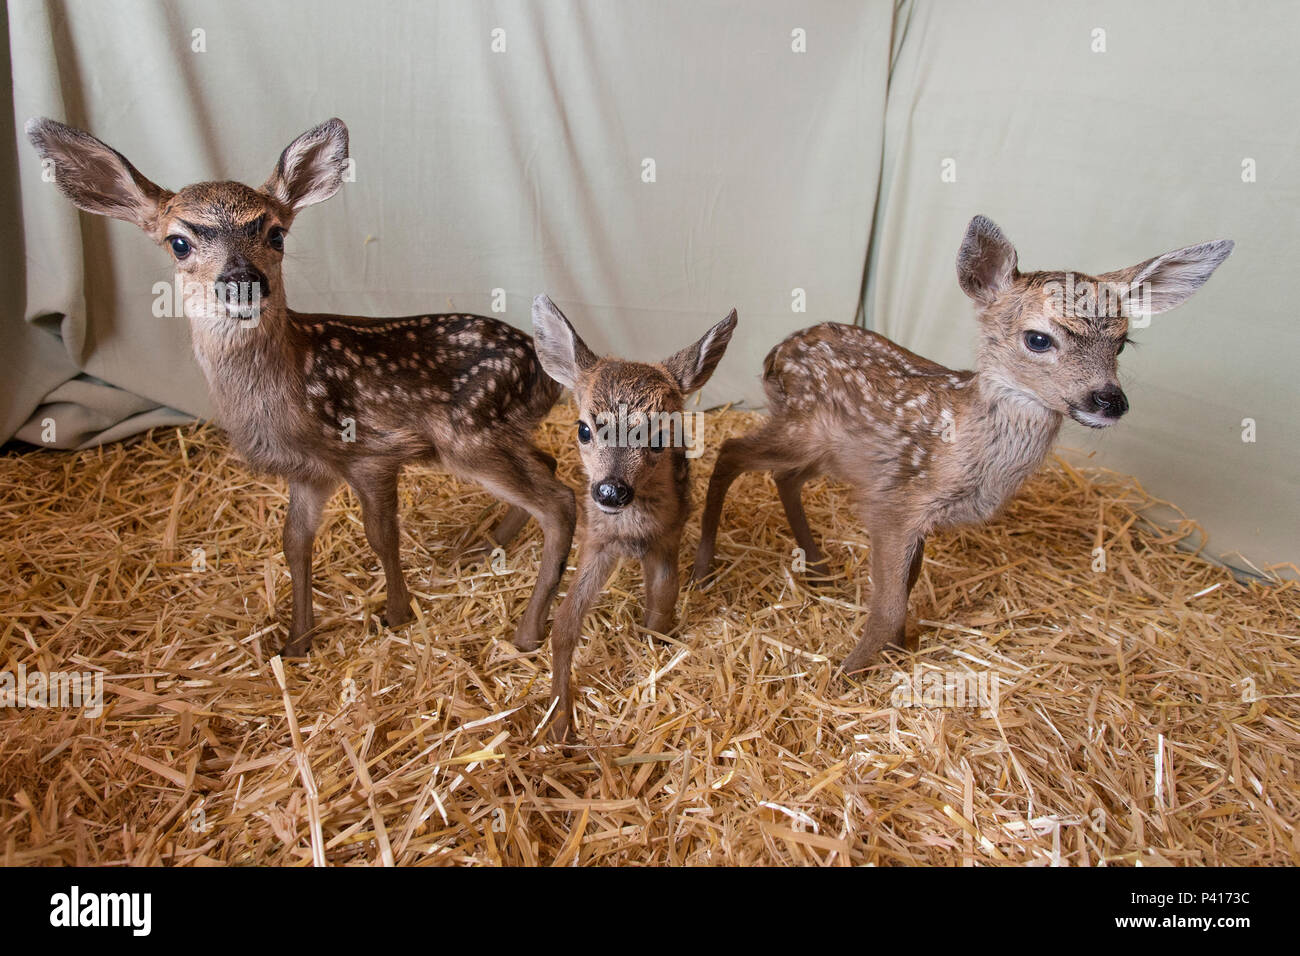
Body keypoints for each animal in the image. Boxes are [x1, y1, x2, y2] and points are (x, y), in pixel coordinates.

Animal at [26, 117, 576, 659]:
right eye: (178, 242)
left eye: (275, 234)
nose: (241, 280)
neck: (290, 382)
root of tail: (546, 372)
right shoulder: (308, 472)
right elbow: (294, 543)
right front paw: (296, 643)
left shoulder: (371, 452)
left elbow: (381, 536)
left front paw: (396, 616)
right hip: (494, 437)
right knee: (549, 465)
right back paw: (481, 548)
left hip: (468, 435)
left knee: (559, 501)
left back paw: (527, 633)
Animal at [530, 294, 737, 739]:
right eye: (584, 429)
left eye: (660, 436)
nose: (611, 490)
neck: (630, 532)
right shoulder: (597, 542)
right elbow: (565, 624)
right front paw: (559, 723)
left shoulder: (666, 540)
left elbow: (661, 603)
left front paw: (652, 652)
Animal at [693, 215, 1233, 675]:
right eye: (1039, 339)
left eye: (1121, 343)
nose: (1109, 400)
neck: (968, 450)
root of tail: (774, 354)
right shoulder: (894, 505)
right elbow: (890, 604)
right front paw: (846, 674)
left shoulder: (914, 512)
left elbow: (907, 587)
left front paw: (898, 652)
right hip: (803, 429)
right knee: (730, 450)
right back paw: (703, 568)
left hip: (831, 452)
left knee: (782, 476)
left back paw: (820, 567)